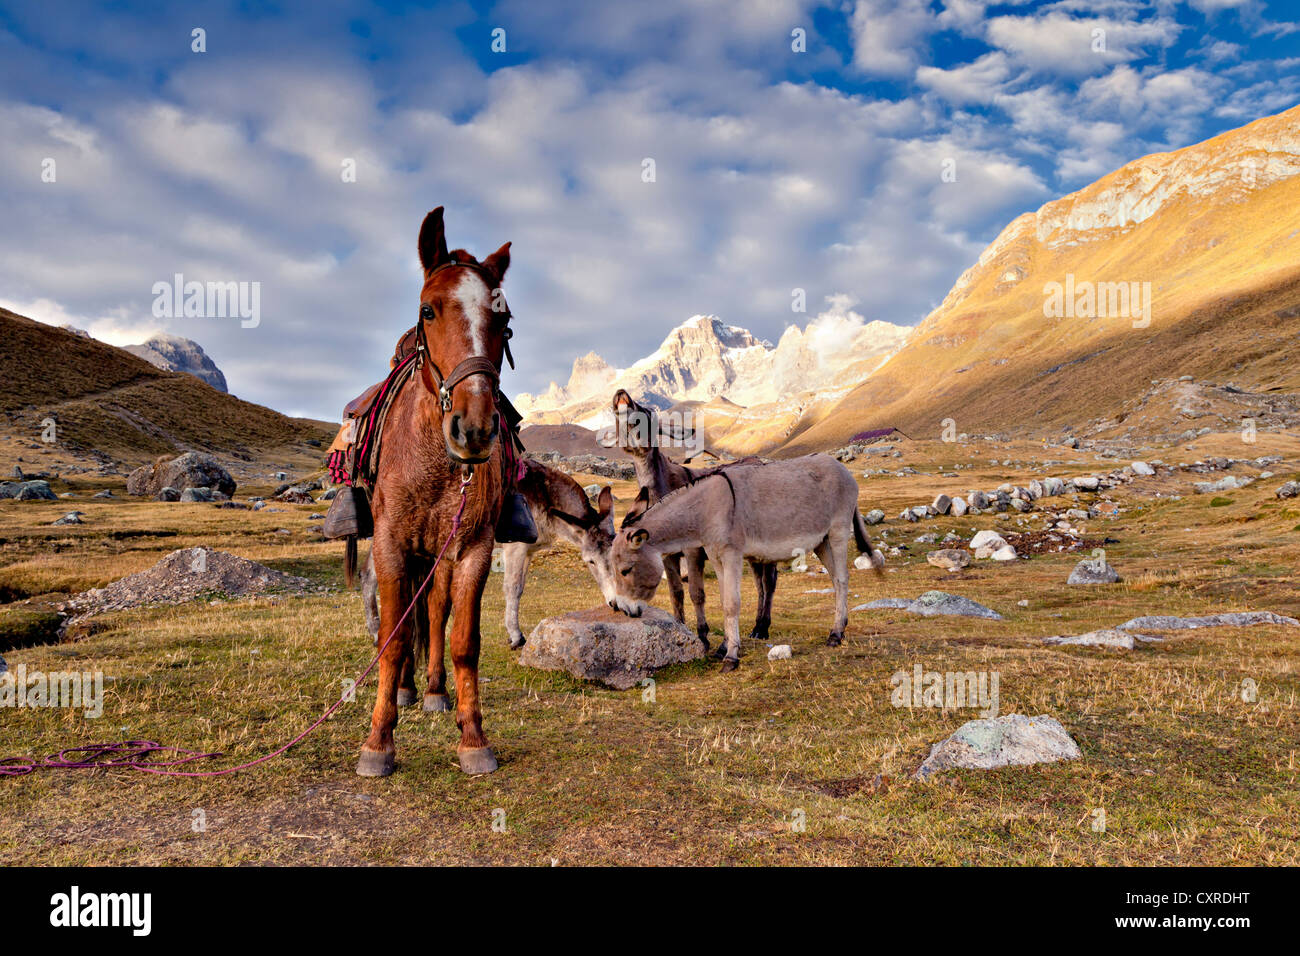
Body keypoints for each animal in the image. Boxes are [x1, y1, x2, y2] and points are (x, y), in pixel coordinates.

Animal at [354, 206, 515, 777]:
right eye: (428, 310)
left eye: (504, 323)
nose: (474, 430)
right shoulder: (390, 544)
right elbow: (394, 637)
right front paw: (379, 742)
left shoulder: (473, 548)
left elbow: (462, 639)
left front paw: (473, 737)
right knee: (407, 618)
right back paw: (404, 691)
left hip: (438, 555)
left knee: (435, 612)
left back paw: (434, 692)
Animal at [608, 454, 885, 671]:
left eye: (625, 570)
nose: (624, 610)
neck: (706, 509)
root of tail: (841, 467)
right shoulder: (716, 557)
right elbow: (723, 601)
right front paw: (724, 646)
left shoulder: (732, 554)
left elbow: (732, 604)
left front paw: (731, 657)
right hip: (821, 541)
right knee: (835, 579)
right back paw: (839, 629)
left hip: (838, 531)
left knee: (842, 579)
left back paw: (836, 634)